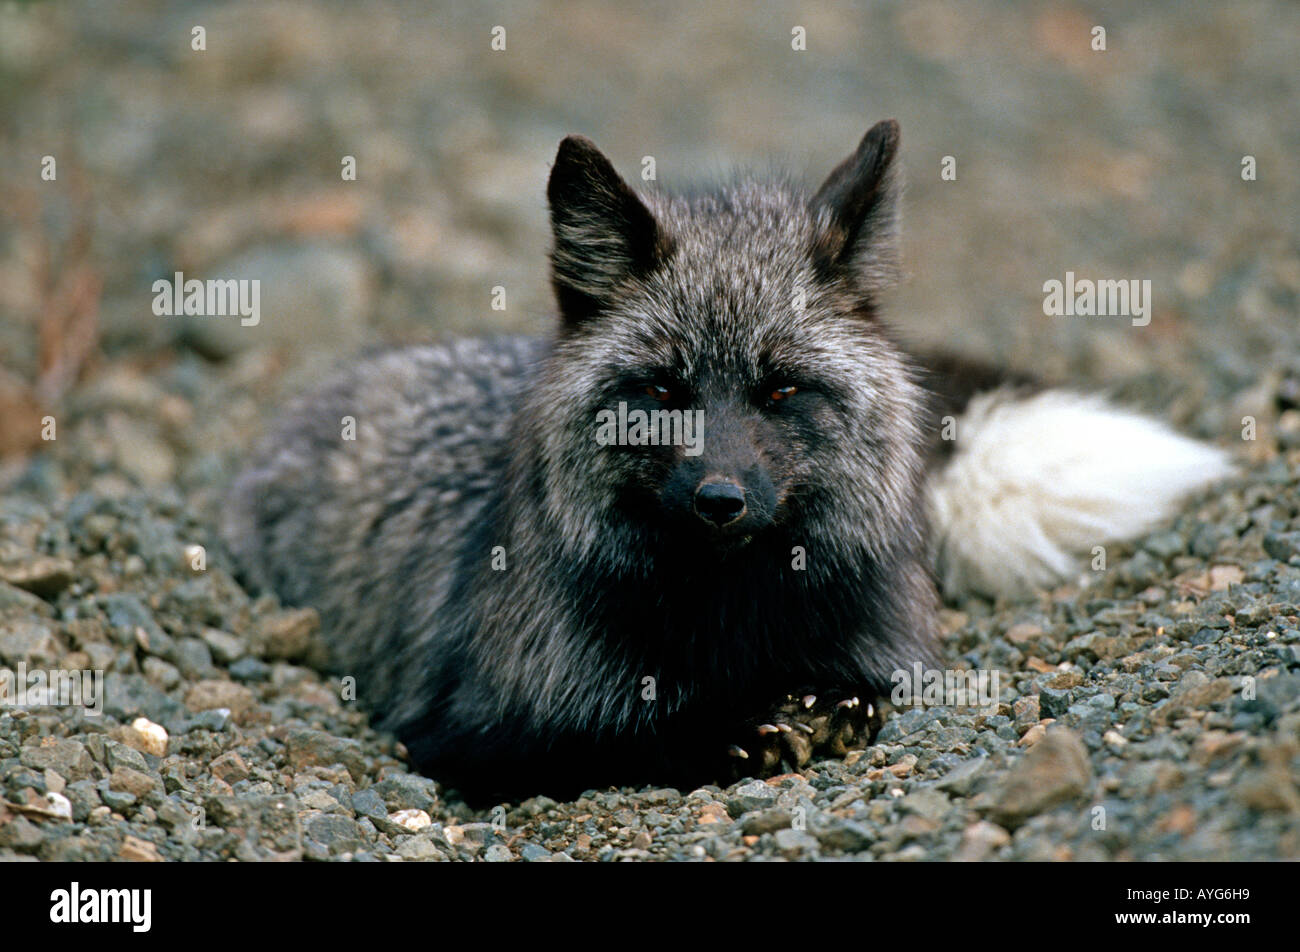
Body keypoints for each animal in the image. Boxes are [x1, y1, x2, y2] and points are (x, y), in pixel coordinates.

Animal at [222, 120, 1232, 799]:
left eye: (781, 390)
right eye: (664, 393)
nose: (721, 500)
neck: (732, 615)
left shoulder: (892, 657)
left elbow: (861, 693)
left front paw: (820, 708)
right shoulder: (461, 734)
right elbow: (632, 734)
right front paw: (735, 730)